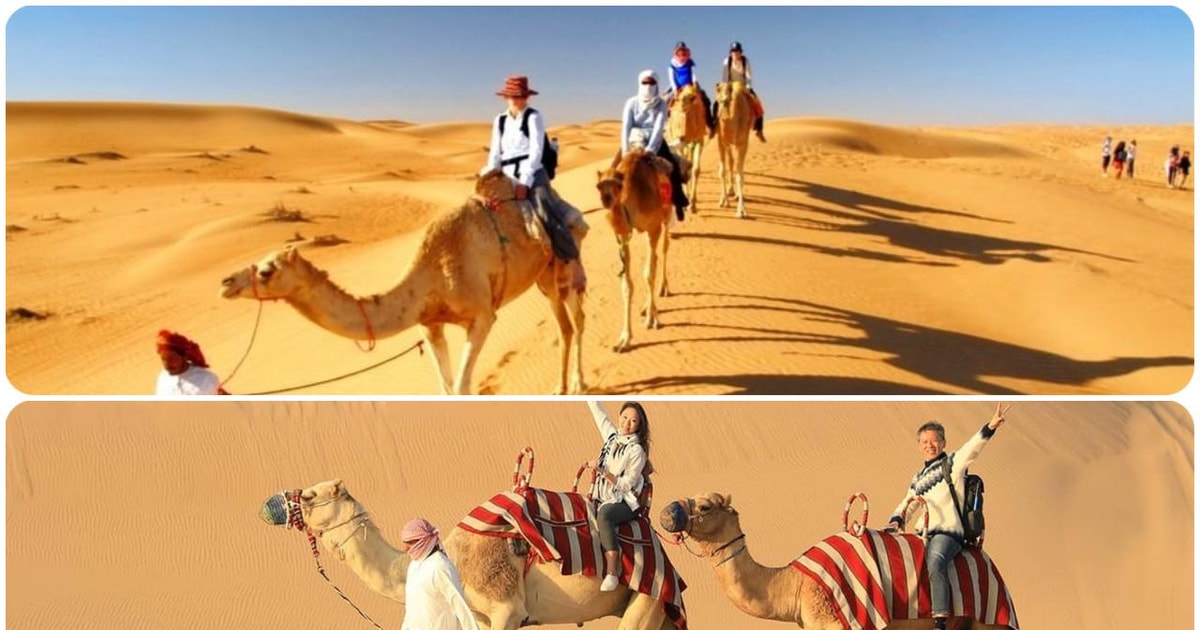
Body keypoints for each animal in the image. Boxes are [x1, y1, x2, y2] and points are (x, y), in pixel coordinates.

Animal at [219, 169, 587, 395]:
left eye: (267, 271)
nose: (226, 282)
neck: (432, 274)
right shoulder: (429, 323)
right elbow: (445, 387)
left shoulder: (483, 316)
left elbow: (461, 387)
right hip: (542, 277)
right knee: (564, 326)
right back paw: (561, 386)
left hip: (563, 266)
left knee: (577, 319)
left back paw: (578, 384)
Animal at [596, 149, 676, 352]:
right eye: (598, 186)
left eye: (618, 185)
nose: (606, 199)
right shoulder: (623, 235)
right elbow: (626, 283)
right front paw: (624, 339)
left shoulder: (653, 227)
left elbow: (649, 273)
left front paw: (652, 319)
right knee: (655, 258)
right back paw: (646, 307)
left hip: (666, 215)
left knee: (664, 249)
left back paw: (662, 290)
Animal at [667, 84, 708, 214]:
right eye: (677, 100)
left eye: (692, 99)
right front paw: (687, 202)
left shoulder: (699, 140)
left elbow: (696, 169)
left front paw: (693, 205)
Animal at [715, 81, 754, 219]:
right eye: (717, 89)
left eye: (730, 90)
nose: (725, 100)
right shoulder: (721, 141)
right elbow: (722, 172)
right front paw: (724, 201)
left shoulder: (743, 143)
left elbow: (740, 176)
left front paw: (741, 211)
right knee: (730, 162)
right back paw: (728, 194)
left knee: (734, 164)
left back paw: (735, 194)